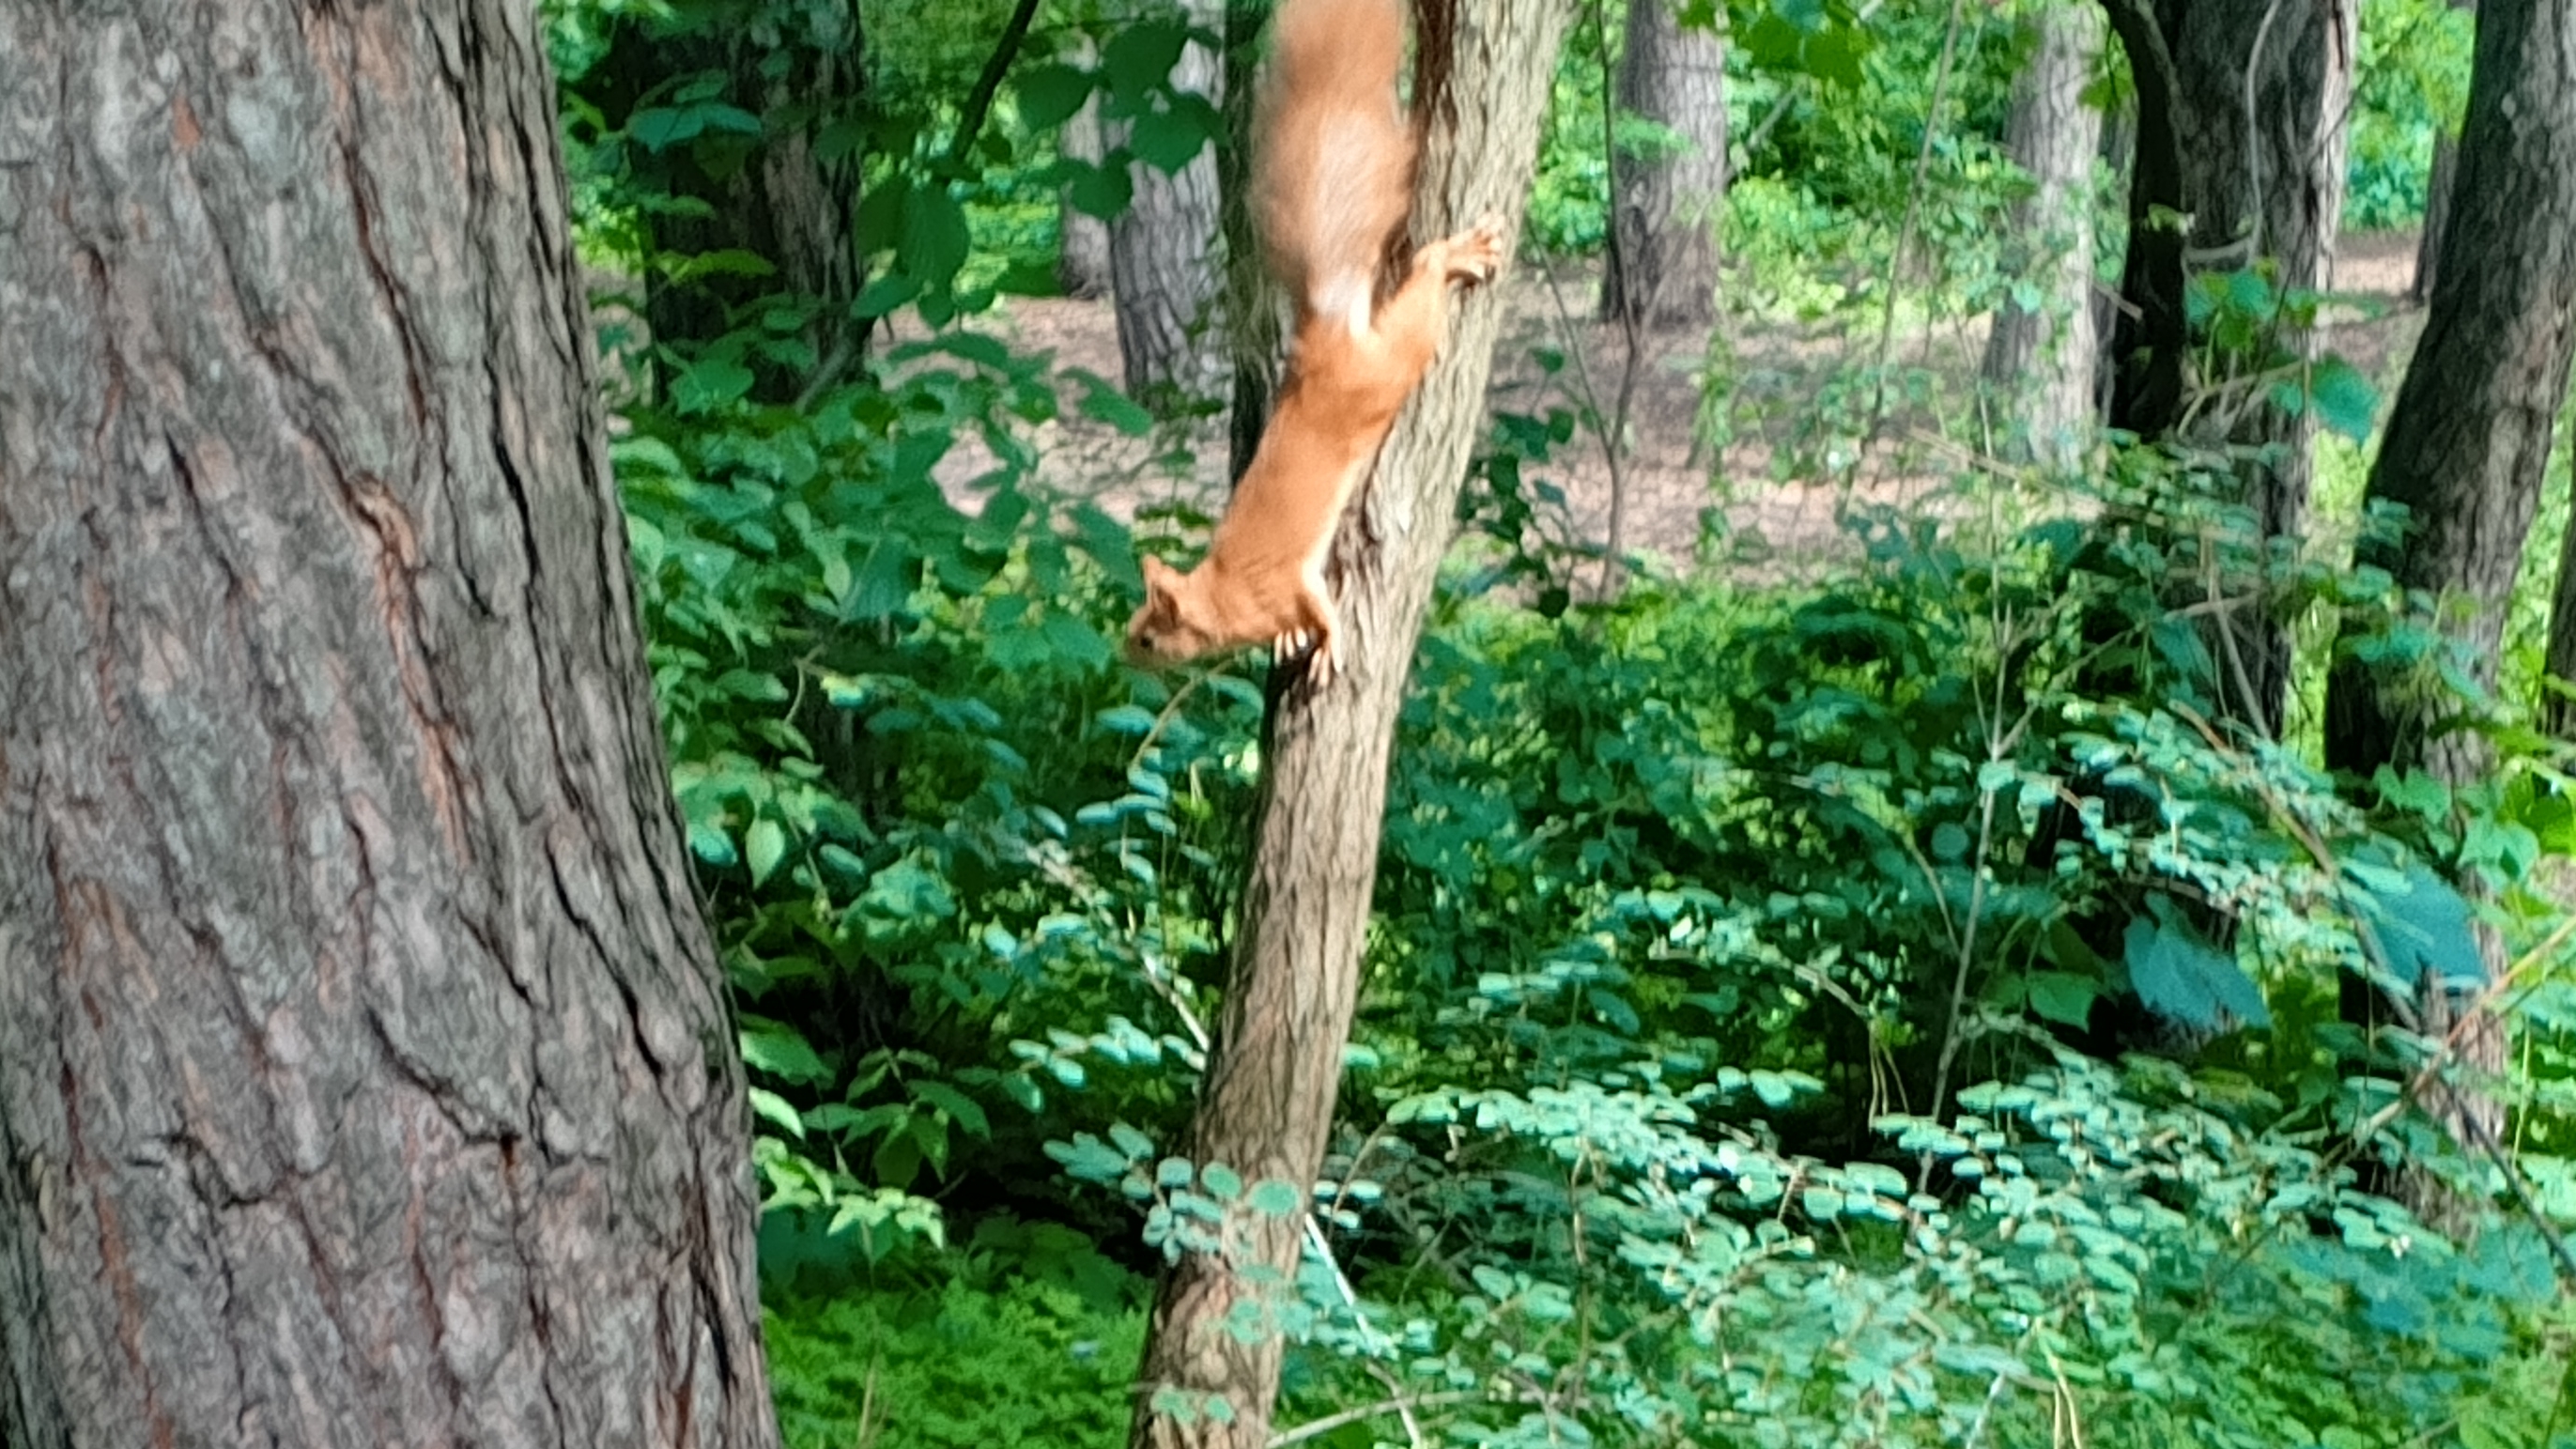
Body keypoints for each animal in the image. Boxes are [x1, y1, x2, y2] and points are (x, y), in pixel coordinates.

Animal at [1123, 0, 1505, 683]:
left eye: (1148, 634)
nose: (1122, 651)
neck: (1220, 592)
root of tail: (1326, 334)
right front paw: (1289, 640)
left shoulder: (1282, 586)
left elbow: (1319, 604)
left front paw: (1324, 641)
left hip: (1387, 366)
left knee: (1424, 281)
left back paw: (1455, 254)